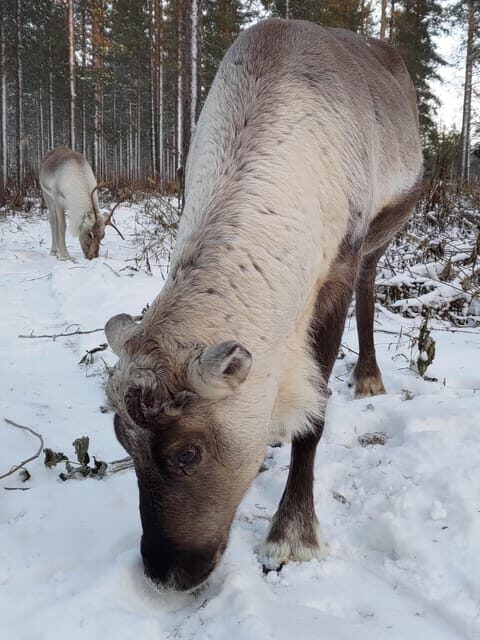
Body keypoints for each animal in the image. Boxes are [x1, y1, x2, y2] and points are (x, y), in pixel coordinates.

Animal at [103, 19, 423, 592]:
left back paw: (368, 375)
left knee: (371, 286)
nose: (164, 572)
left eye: (188, 453)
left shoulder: (336, 269)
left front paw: (293, 534)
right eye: (121, 439)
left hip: (384, 231)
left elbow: (315, 416)